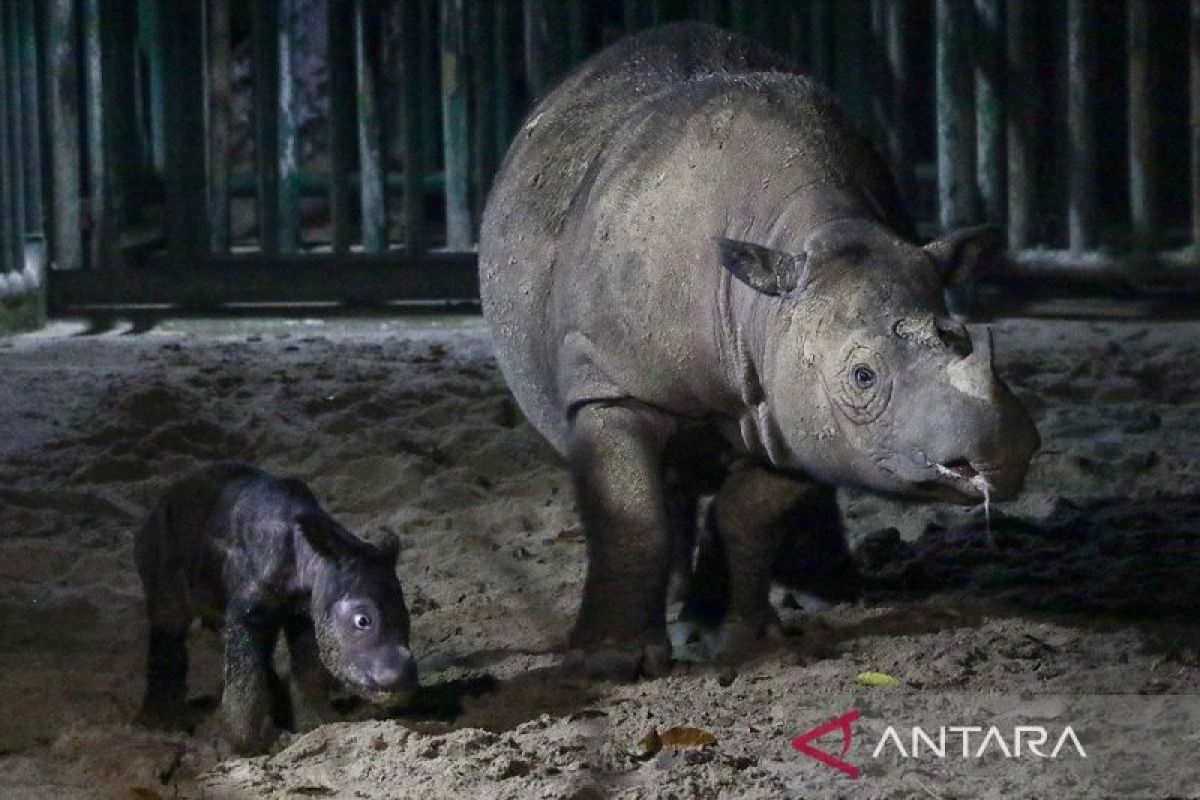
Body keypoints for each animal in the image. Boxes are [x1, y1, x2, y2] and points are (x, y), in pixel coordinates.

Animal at [479, 23, 1039, 679]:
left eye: (961, 339)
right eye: (862, 376)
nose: (1006, 452)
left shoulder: (795, 404)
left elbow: (750, 510)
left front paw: (725, 637)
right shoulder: (611, 382)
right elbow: (632, 513)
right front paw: (611, 661)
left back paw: (824, 596)